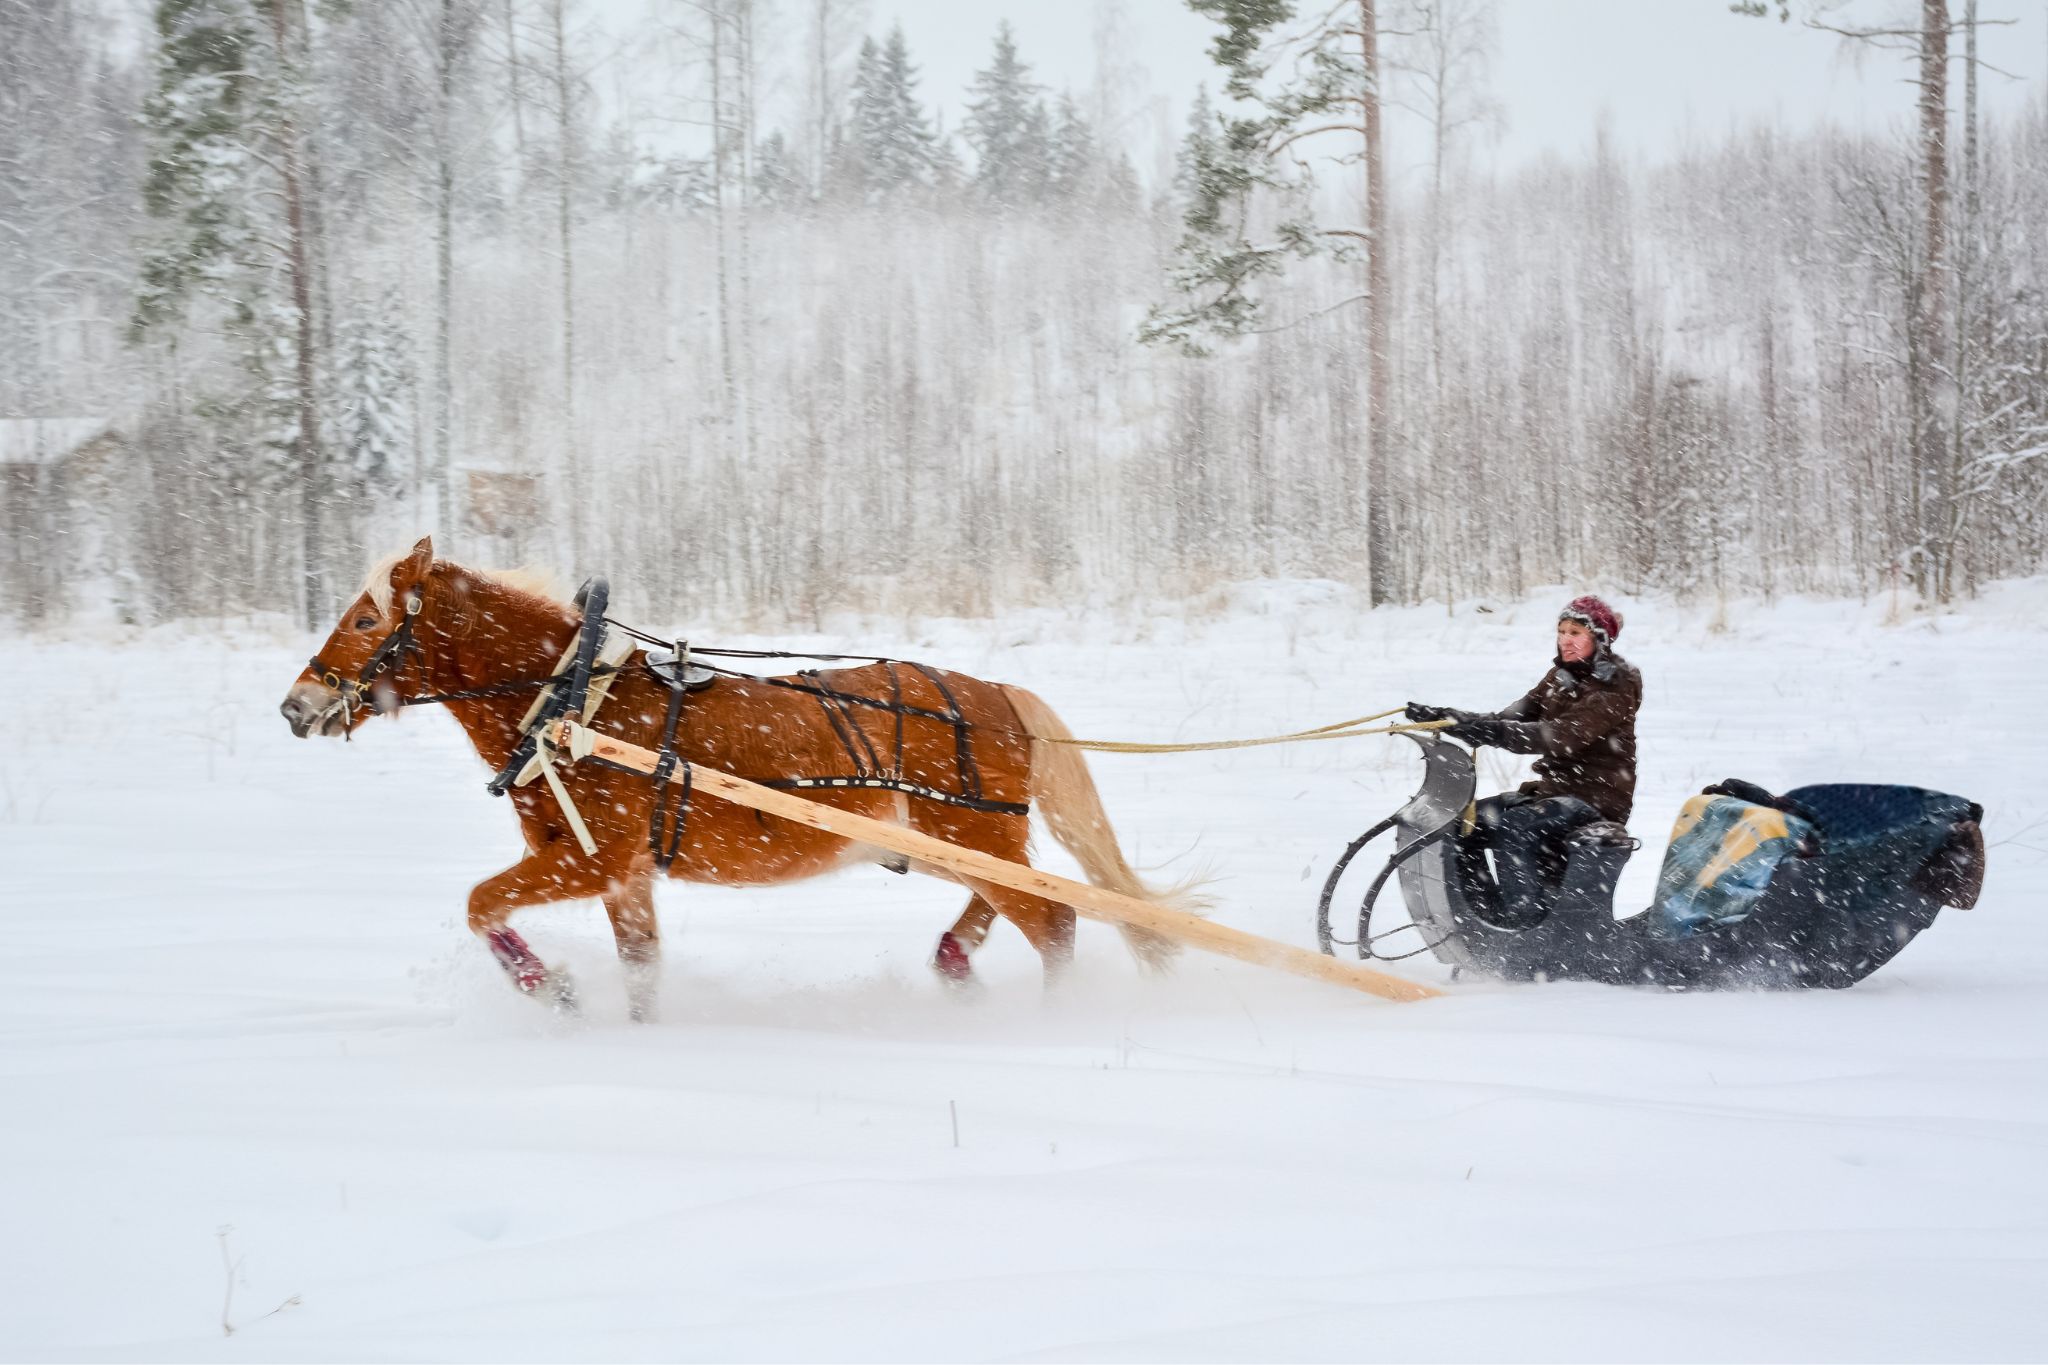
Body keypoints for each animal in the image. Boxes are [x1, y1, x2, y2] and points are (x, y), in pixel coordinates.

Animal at [280, 538, 1192, 1020]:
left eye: (366, 617)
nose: (297, 704)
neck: (572, 703)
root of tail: (1001, 696)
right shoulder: (626, 876)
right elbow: (641, 966)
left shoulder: (589, 859)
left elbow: (480, 902)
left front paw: (552, 986)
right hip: (955, 844)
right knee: (1025, 904)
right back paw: (956, 959)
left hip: (974, 835)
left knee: (1057, 919)